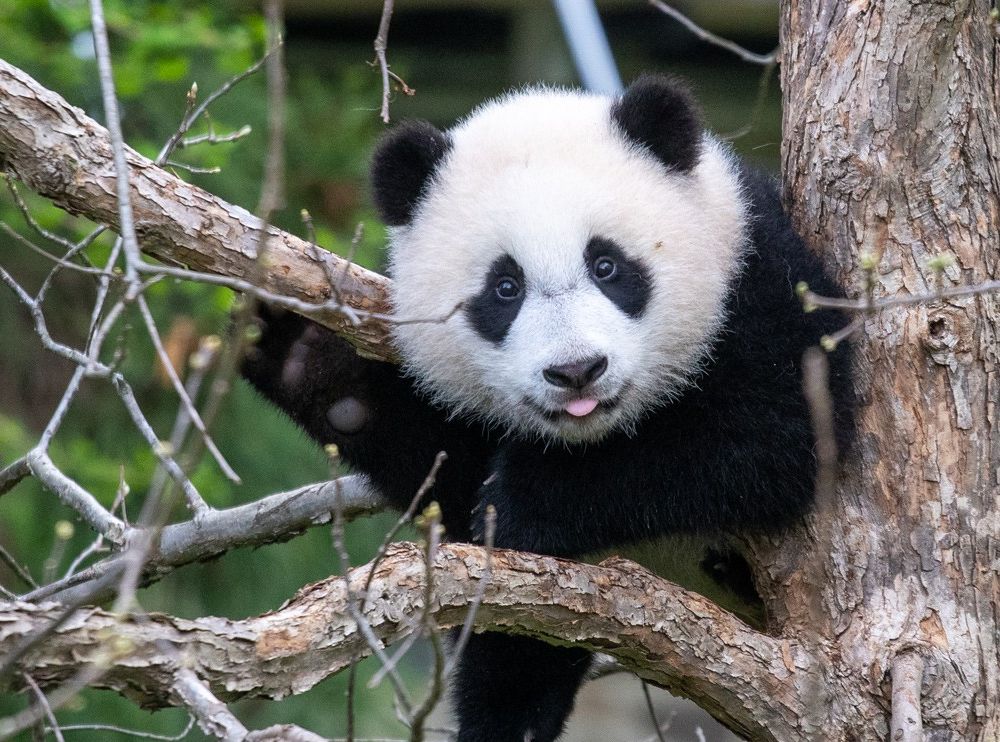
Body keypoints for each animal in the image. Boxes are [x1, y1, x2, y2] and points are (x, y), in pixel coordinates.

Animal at [242, 75, 855, 742]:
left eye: (607, 264)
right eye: (505, 288)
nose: (577, 370)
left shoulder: (758, 273)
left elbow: (773, 435)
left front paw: (525, 496)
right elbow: (440, 467)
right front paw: (301, 350)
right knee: (518, 644)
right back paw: (506, 721)